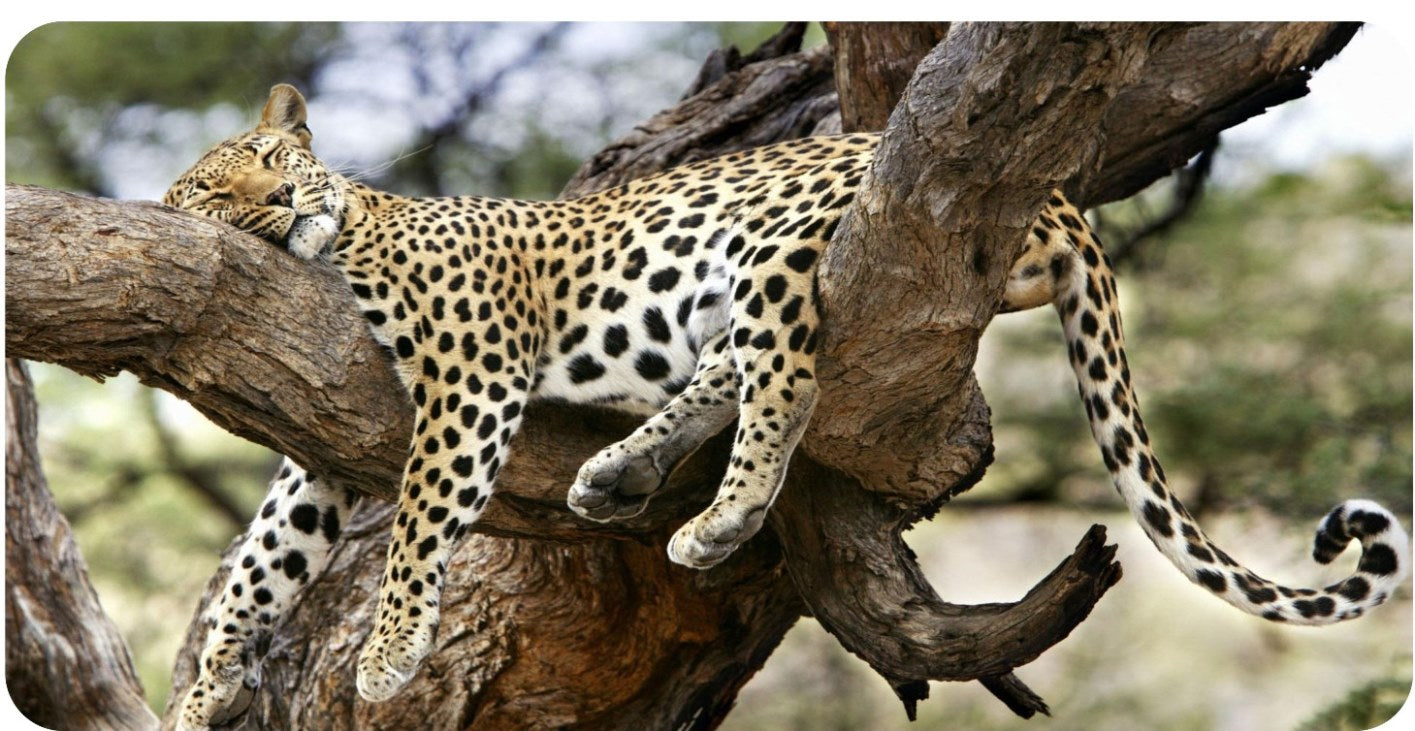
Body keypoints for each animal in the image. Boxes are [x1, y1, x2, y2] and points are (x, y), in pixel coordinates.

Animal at [165, 84, 1408, 730]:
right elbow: (263, 556)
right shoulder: (320, 443)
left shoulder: (469, 375)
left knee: (786, 376)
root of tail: (1057, 192)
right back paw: (618, 473)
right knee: (732, 368)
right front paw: (208, 682)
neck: (344, 239)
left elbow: (419, 522)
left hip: (767, 244)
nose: (276, 199)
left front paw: (383, 657)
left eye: (273, 157)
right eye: (213, 190)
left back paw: (715, 516)